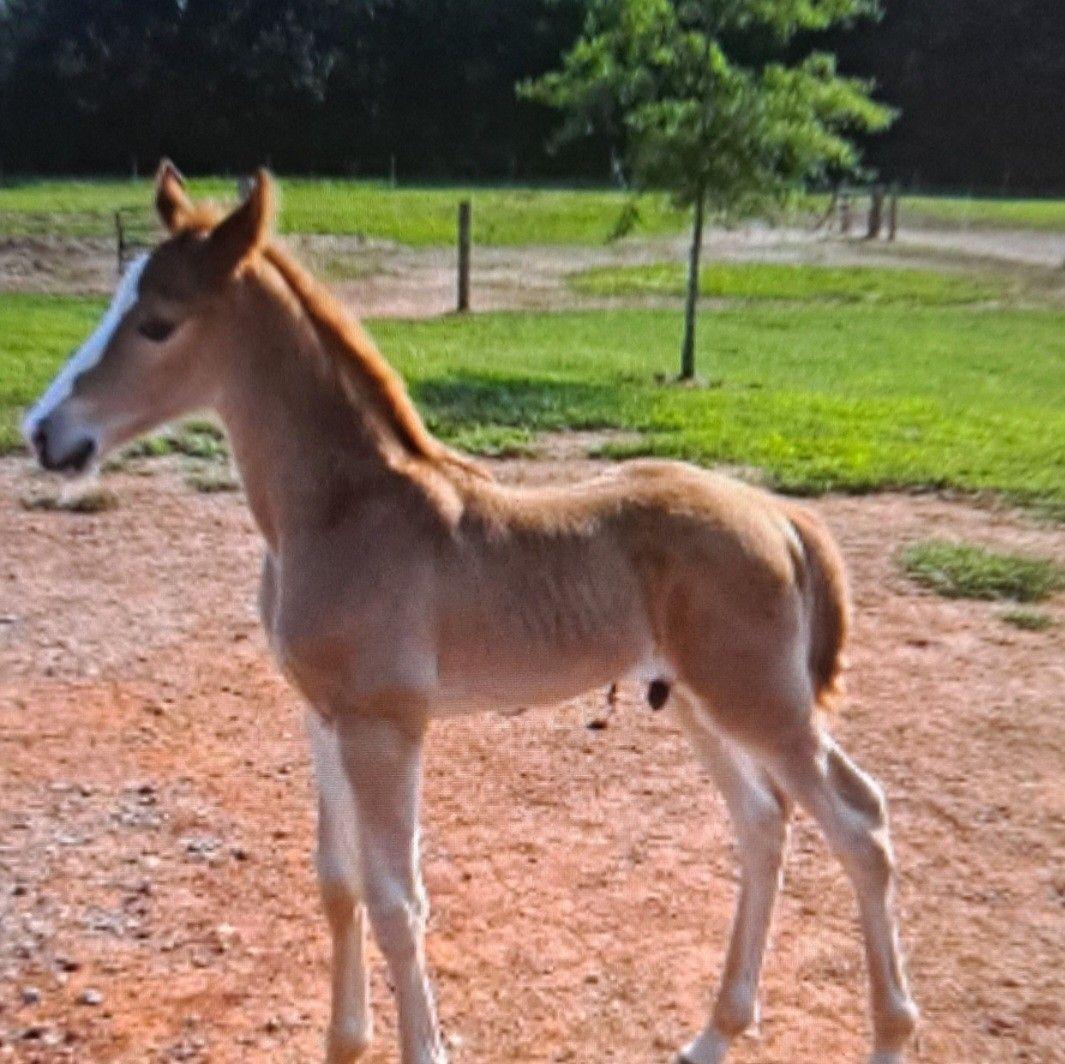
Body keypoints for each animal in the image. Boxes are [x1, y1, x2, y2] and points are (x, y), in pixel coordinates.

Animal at [23, 162, 917, 1064]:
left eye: (158, 324)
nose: (43, 433)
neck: (345, 512)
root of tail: (781, 515)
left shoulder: (386, 726)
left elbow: (396, 901)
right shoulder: (322, 716)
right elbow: (337, 883)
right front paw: (344, 1041)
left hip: (763, 703)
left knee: (860, 824)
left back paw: (886, 1032)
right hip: (700, 703)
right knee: (764, 825)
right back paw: (712, 1035)